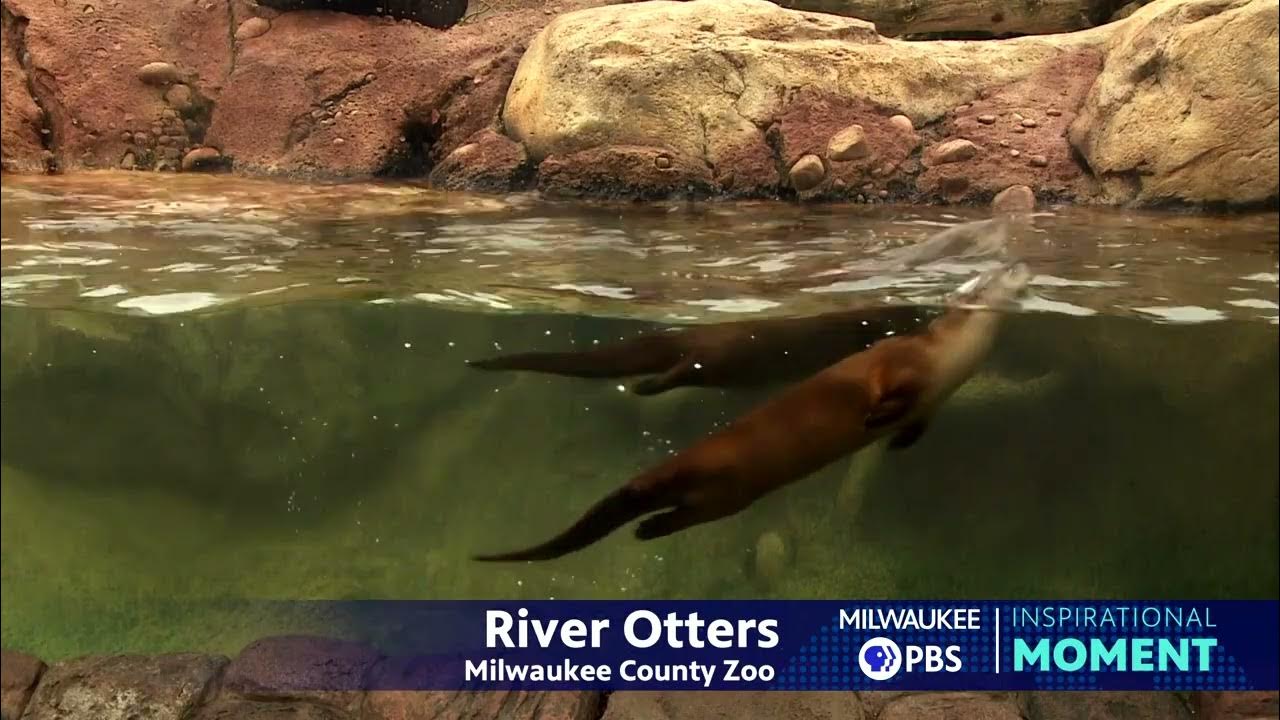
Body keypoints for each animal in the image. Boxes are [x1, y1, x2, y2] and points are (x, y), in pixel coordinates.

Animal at [473, 261, 1033, 562]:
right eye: (1005, 269)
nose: (1024, 264)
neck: (953, 356)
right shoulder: (903, 362)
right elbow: (883, 389)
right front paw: (876, 417)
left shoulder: (933, 402)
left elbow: (915, 427)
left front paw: (896, 440)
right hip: (718, 415)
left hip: (724, 495)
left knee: (681, 512)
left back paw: (646, 529)